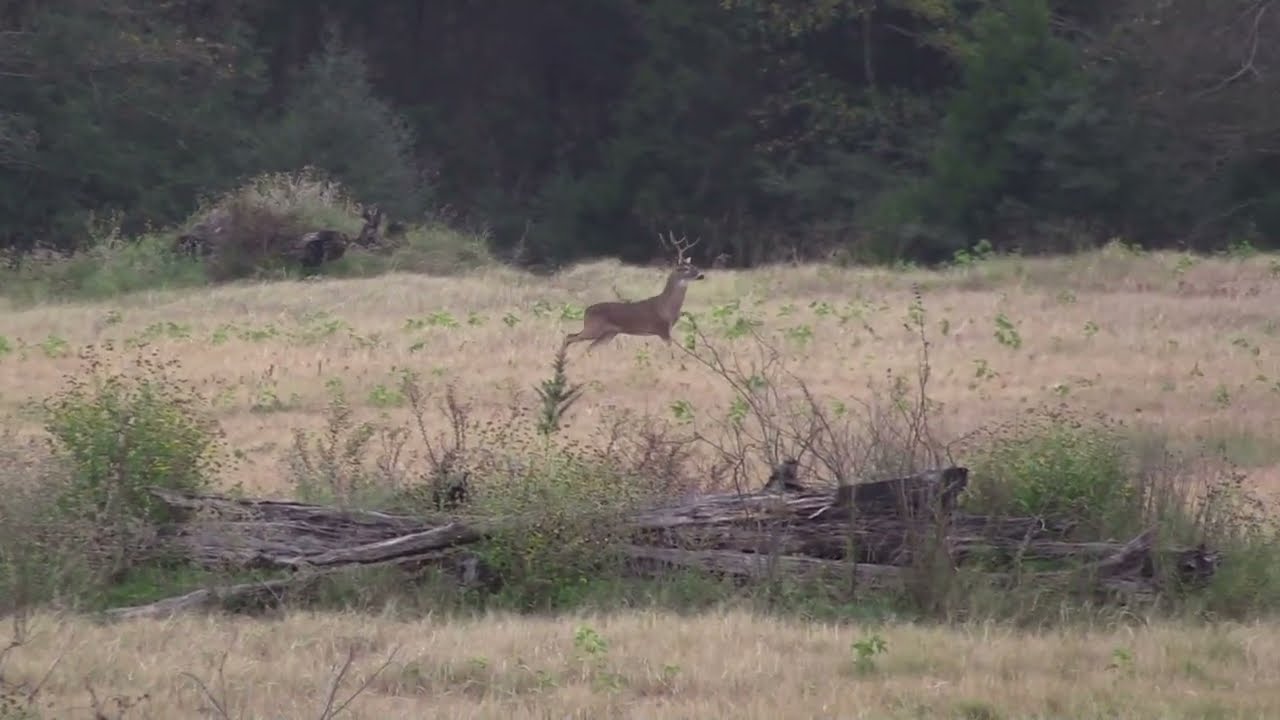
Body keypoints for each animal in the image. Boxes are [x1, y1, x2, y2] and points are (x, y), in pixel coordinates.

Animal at [562, 231, 705, 354]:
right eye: (684, 268)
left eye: (694, 266)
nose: (701, 275)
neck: (666, 306)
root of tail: (586, 311)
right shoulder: (662, 329)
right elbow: (671, 352)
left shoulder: (666, 330)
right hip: (593, 328)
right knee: (569, 337)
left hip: (608, 333)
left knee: (589, 347)